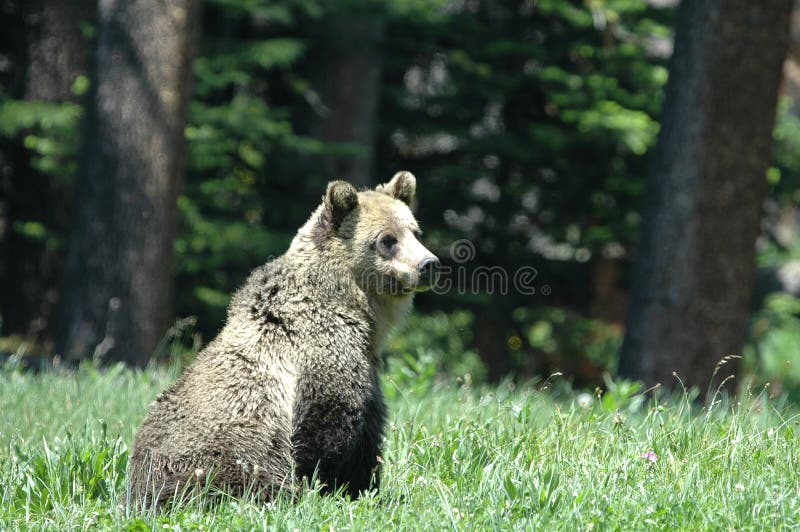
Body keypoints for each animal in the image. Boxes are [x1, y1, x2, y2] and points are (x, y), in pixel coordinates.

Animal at [127, 171, 439, 507]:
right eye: (387, 239)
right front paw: (324, 486)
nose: (429, 264)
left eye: (414, 231)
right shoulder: (323, 351)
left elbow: (368, 436)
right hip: (226, 454)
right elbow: (328, 427)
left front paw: (362, 489)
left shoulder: (368, 368)